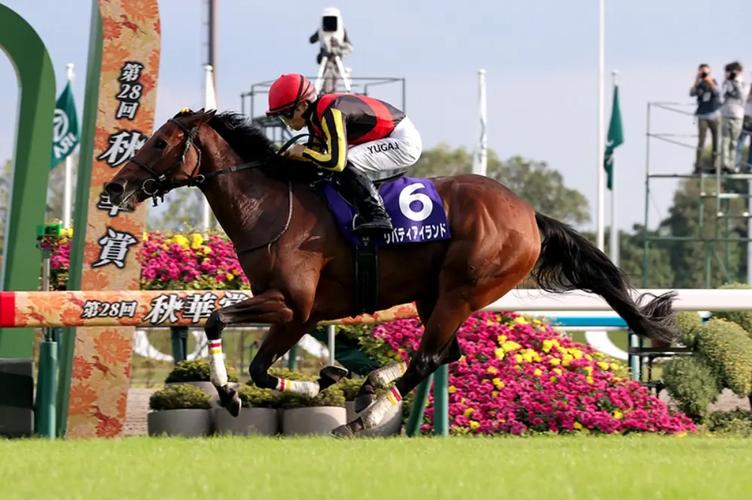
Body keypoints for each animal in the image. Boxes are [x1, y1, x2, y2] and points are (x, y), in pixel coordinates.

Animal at [105, 109, 676, 436]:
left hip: (461, 290)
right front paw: (325, 377)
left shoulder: (292, 304)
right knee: (446, 353)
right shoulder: (301, 313)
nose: (114, 187)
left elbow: (224, 329)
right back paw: (373, 382)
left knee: (427, 358)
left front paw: (232, 393)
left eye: (160, 142)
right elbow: (254, 360)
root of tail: (529, 214)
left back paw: (367, 416)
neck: (269, 205)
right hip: (433, 295)